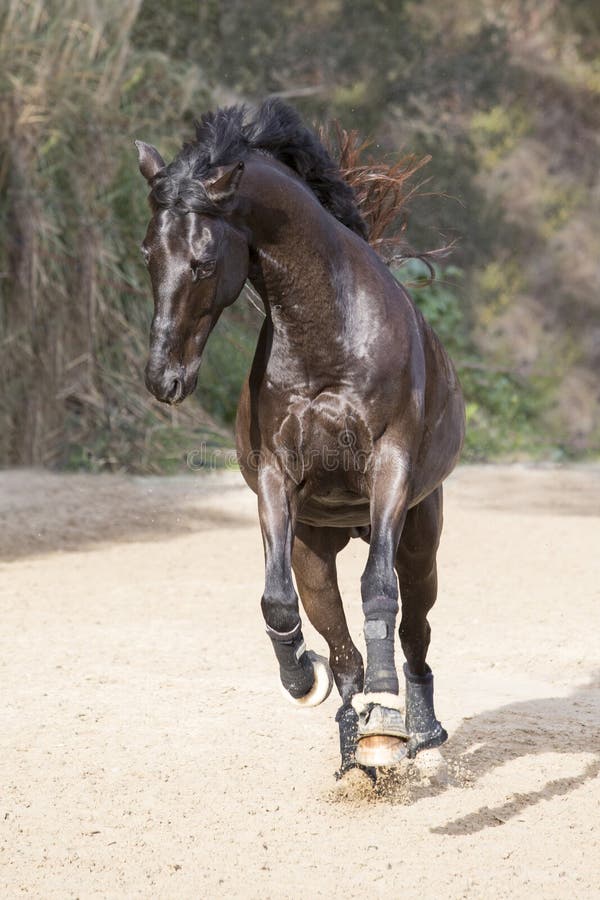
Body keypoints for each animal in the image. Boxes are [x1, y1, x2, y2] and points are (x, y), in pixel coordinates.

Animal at [135, 99, 465, 780]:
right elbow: (278, 604)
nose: (165, 379)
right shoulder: (276, 478)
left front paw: (388, 719)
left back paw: (416, 730)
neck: (329, 335)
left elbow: (379, 591)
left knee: (414, 628)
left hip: (421, 541)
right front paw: (302, 679)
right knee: (342, 650)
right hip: (317, 552)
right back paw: (356, 750)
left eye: (203, 261)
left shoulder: (390, 467)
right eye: (149, 254)